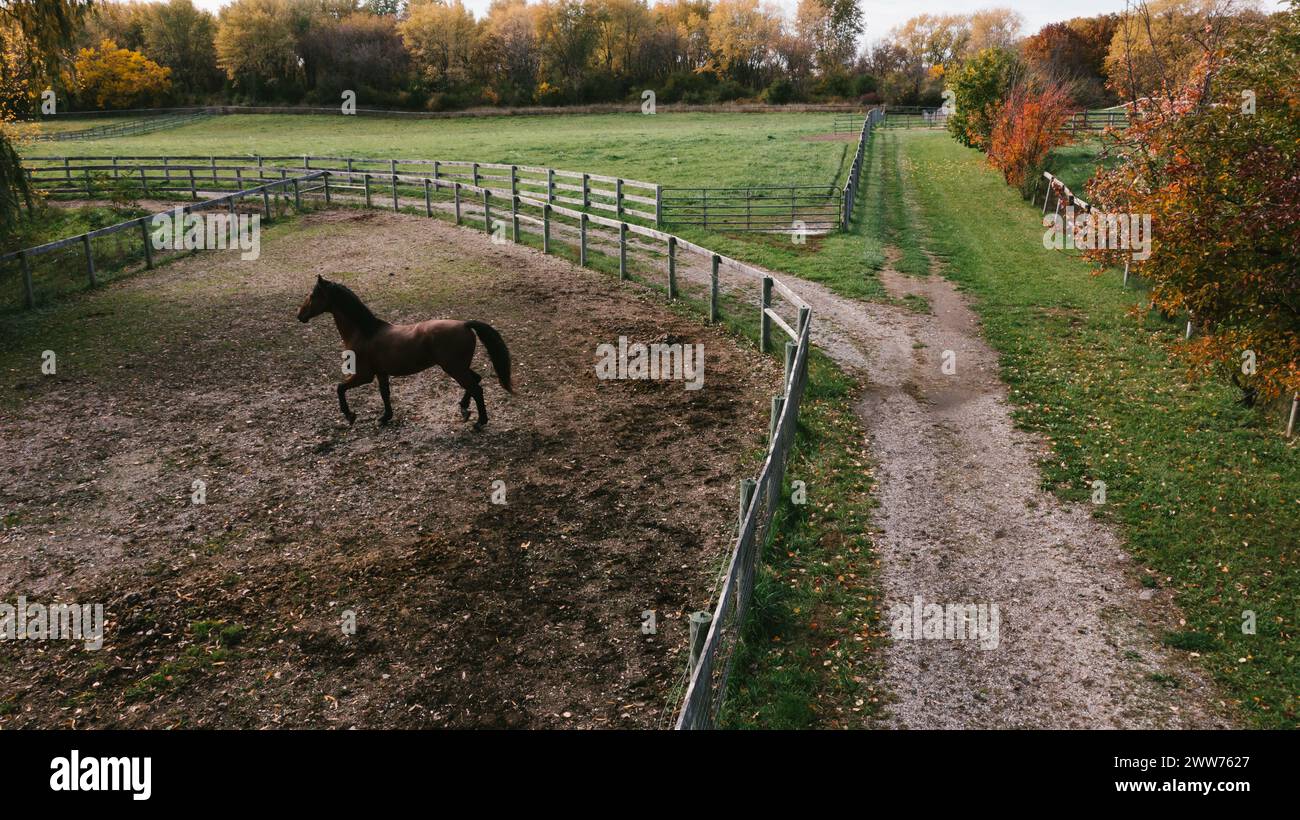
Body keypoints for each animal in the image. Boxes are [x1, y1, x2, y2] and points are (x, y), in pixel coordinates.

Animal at [296, 275, 512, 427]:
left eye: (313, 295)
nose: (300, 315)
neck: (365, 332)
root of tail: (465, 324)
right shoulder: (380, 373)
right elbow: (385, 394)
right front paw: (385, 417)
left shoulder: (364, 375)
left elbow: (340, 388)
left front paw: (350, 415)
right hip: (458, 367)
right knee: (476, 380)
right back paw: (464, 408)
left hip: (454, 368)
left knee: (476, 388)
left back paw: (479, 422)